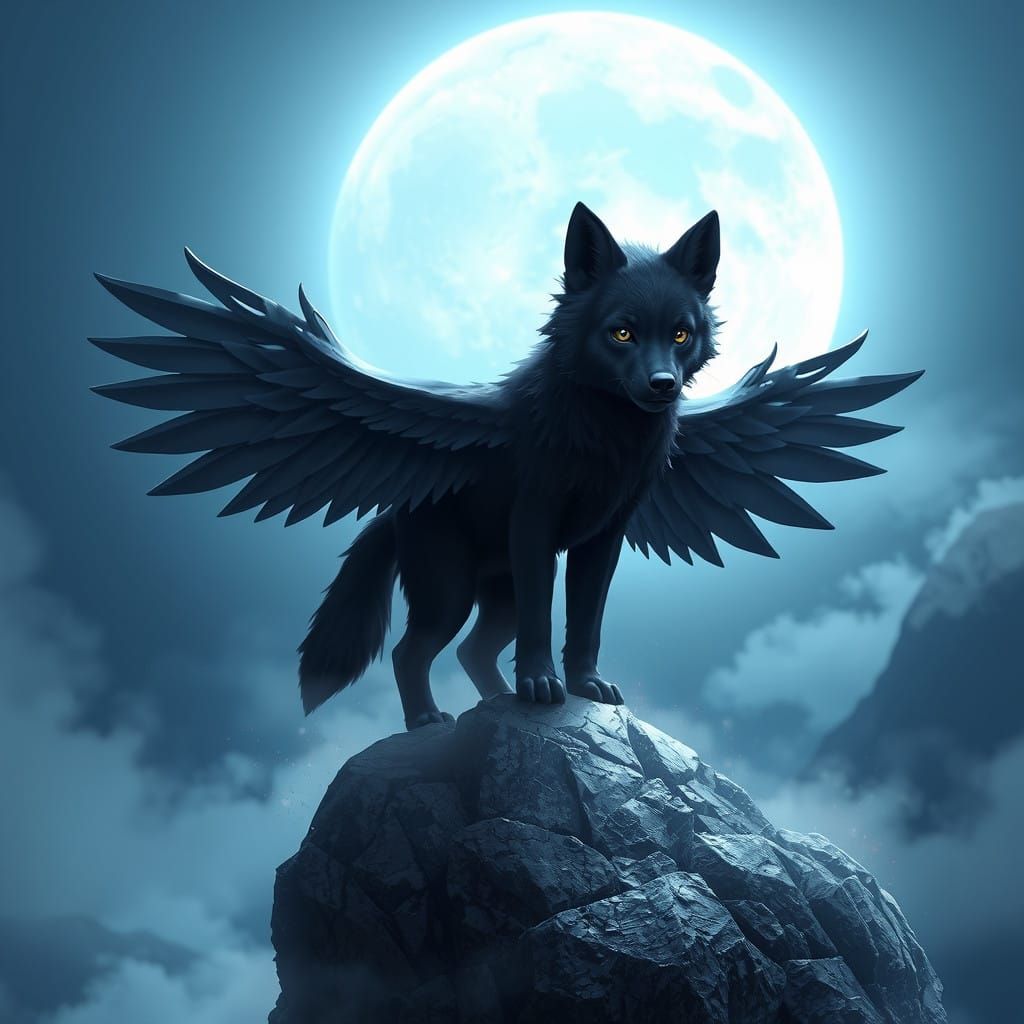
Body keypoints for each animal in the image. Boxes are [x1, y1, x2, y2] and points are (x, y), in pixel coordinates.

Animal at [91, 203, 921, 729]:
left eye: (681, 334)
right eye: (622, 331)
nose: (661, 387)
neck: (601, 435)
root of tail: (397, 510)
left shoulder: (601, 539)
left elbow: (584, 622)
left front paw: (579, 686)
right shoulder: (537, 525)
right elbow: (544, 622)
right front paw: (542, 685)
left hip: (488, 595)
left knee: (469, 650)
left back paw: (495, 703)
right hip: (454, 589)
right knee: (414, 650)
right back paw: (435, 718)